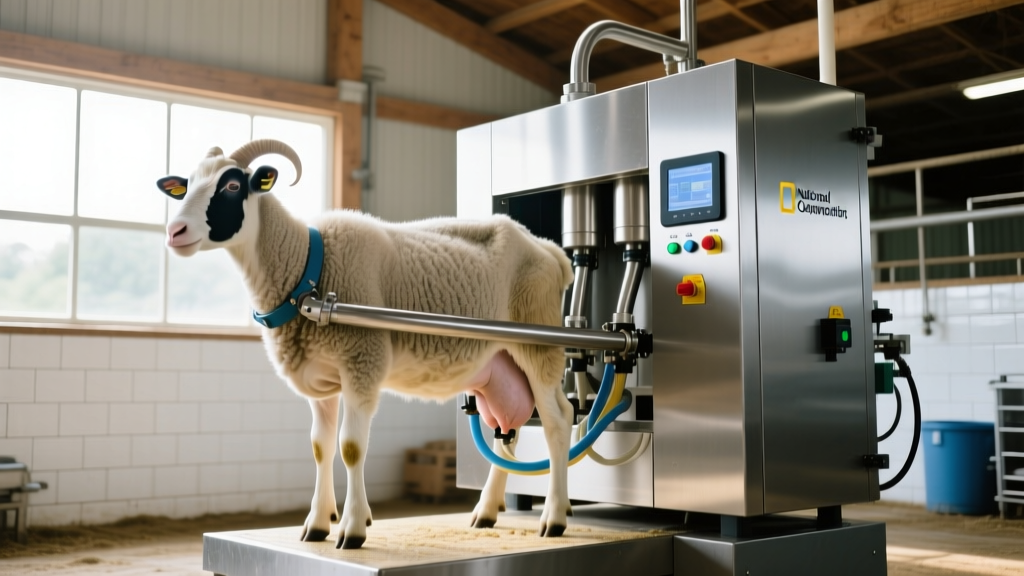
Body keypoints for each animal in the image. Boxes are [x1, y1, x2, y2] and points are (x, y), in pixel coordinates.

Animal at [156, 140, 575, 549]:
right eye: (186, 185)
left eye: (231, 185)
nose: (174, 231)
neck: (306, 270)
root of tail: (548, 250)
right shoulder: (321, 383)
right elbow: (321, 447)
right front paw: (317, 525)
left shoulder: (362, 362)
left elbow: (351, 447)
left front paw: (353, 530)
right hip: (500, 367)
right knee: (509, 427)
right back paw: (486, 513)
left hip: (539, 343)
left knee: (558, 420)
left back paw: (554, 518)